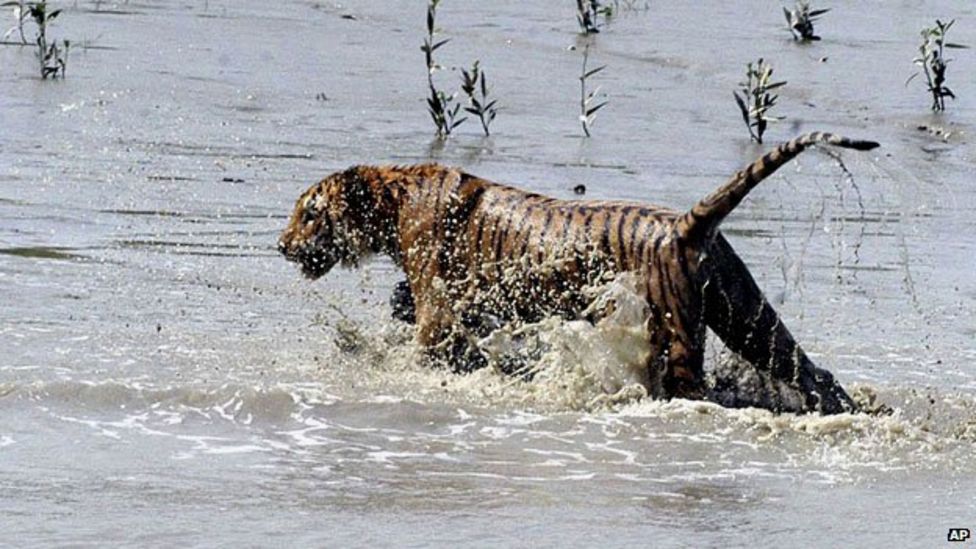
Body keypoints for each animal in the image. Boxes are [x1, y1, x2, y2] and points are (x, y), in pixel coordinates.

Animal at [278, 132, 879, 415]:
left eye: (308, 213)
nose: (281, 246)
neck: (393, 197)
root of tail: (688, 223)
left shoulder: (439, 308)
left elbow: (422, 343)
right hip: (749, 317)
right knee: (814, 372)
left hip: (682, 336)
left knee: (696, 390)